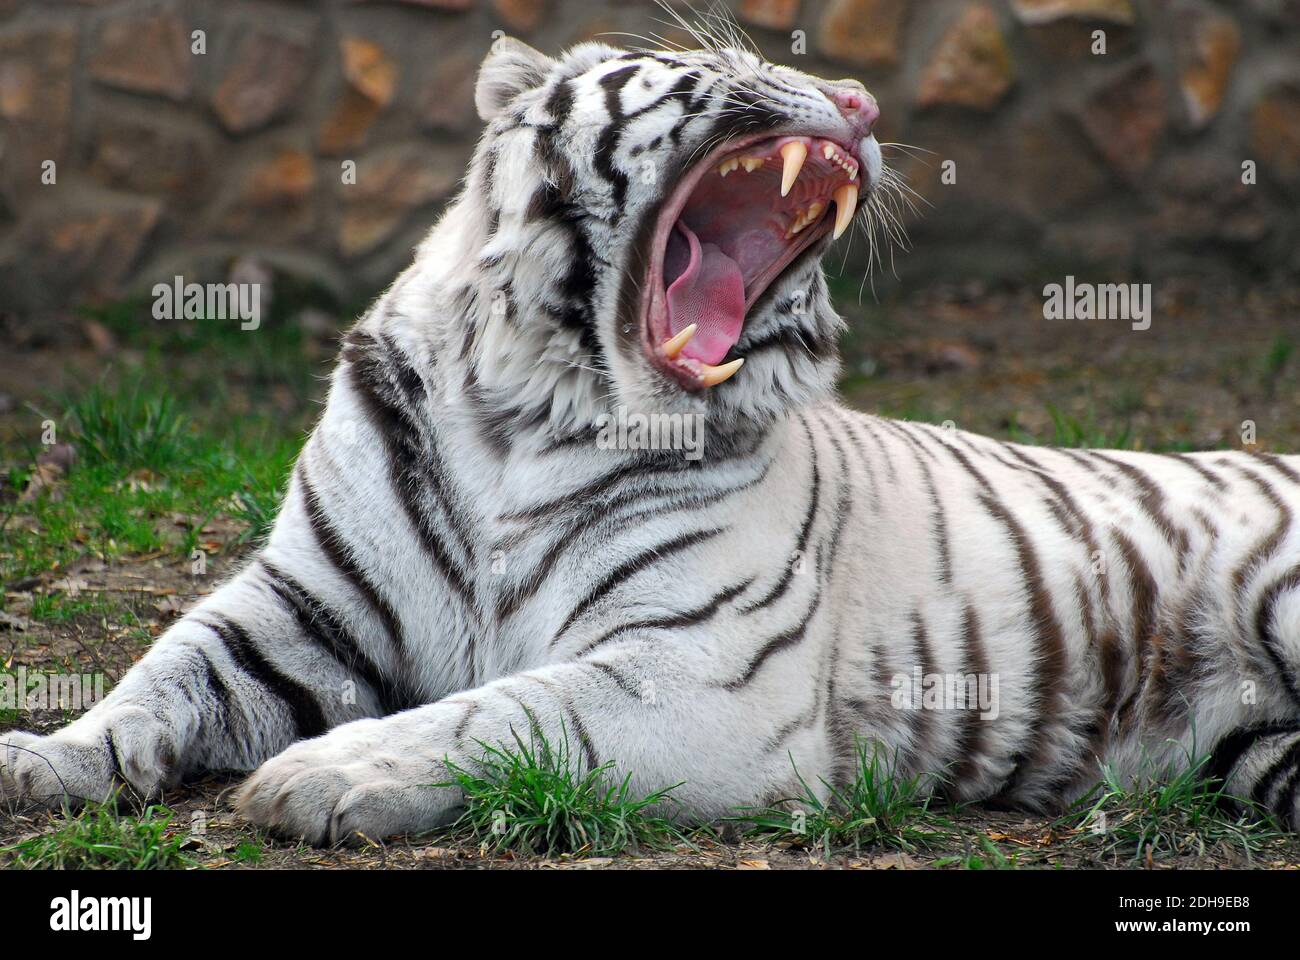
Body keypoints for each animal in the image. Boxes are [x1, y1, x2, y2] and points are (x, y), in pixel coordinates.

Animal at [4, 31, 1300, 848]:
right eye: (727, 65)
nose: (864, 106)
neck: (524, 411)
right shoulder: (302, 603)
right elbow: (164, 670)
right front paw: (46, 756)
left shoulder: (699, 668)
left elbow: (503, 712)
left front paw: (327, 773)